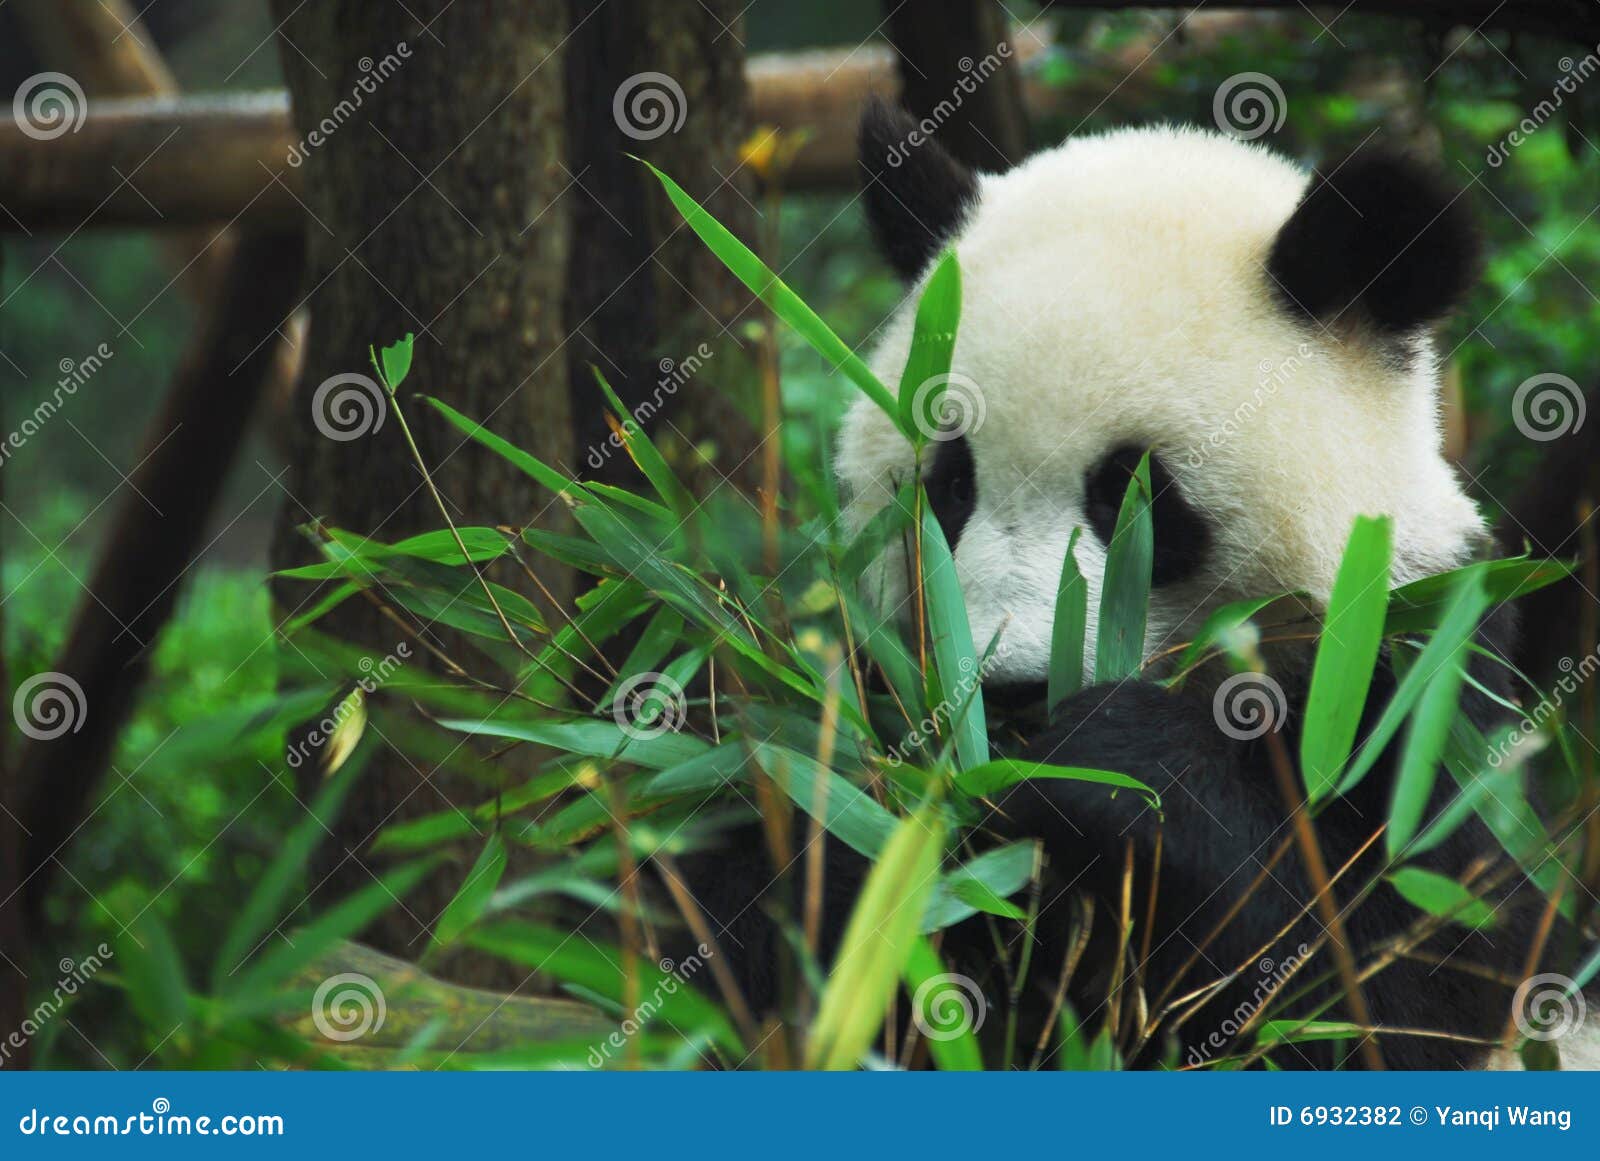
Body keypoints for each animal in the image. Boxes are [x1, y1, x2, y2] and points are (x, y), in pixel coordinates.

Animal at [681, 100, 1598, 1070]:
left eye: (1136, 496)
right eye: (953, 485)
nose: (1010, 692)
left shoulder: (1417, 678)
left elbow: (1421, 979)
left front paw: (1113, 766)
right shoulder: (875, 680)